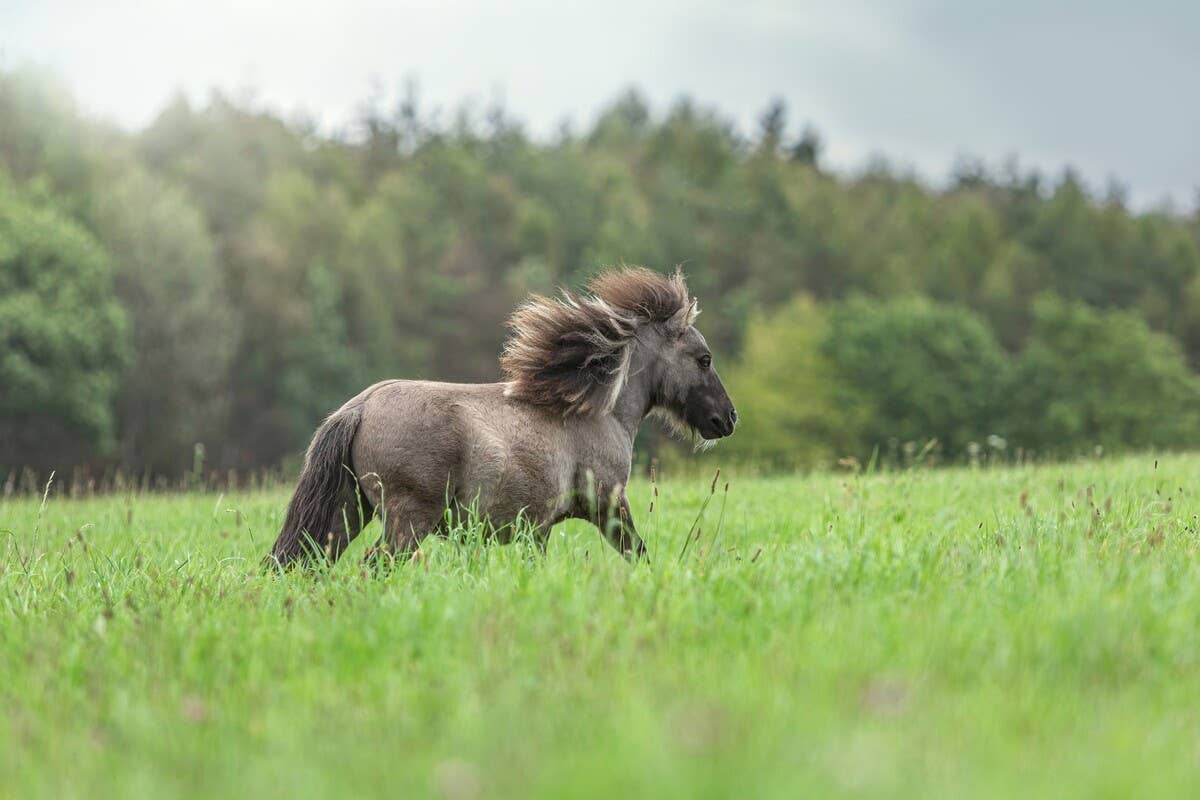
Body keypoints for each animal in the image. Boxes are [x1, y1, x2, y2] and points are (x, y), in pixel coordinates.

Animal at [266, 267, 737, 568]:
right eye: (703, 358)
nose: (727, 419)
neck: (600, 414)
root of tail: (360, 406)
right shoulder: (608, 503)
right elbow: (639, 555)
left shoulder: (538, 529)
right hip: (407, 519)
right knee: (372, 566)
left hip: (349, 513)